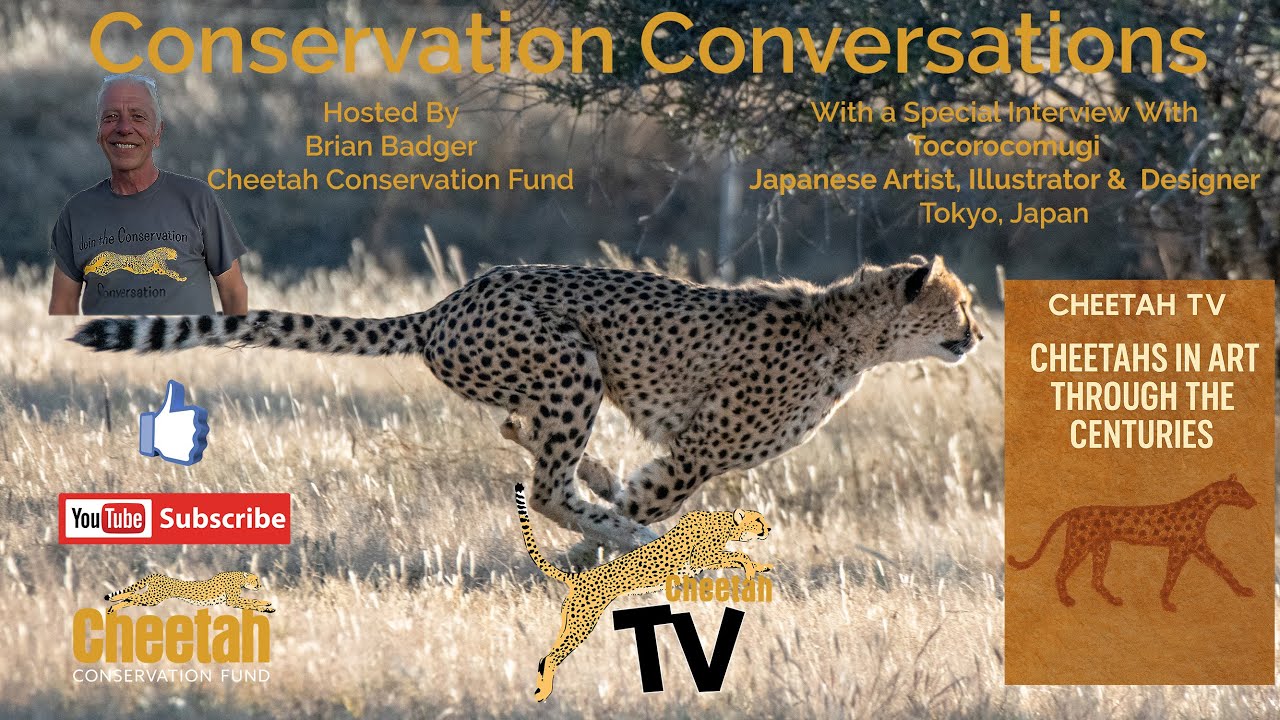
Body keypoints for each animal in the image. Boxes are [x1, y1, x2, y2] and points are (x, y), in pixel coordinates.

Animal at [72, 254, 981, 549]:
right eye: (961, 305)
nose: (978, 334)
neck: (856, 333)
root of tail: (445, 303)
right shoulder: (698, 451)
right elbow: (656, 495)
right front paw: (618, 548)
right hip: (573, 363)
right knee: (544, 484)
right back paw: (617, 524)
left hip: (557, 382)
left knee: (526, 436)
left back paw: (601, 489)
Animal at [104, 571, 275, 615]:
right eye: (255, 579)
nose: (260, 584)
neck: (240, 578)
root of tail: (157, 574)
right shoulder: (232, 600)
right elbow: (250, 603)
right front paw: (267, 607)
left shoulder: (234, 600)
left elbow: (252, 601)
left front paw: (268, 605)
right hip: (153, 598)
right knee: (131, 596)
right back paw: (112, 604)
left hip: (149, 598)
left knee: (130, 599)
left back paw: (111, 608)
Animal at [515, 482, 771, 702]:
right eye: (758, 520)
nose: (768, 528)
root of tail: (577, 579)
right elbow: (736, 556)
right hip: (582, 621)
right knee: (550, 656)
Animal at [1007, 475, 1257, 612]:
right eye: (1240, 492)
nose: (1253, 501)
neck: (1204, 509)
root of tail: (1074, 510)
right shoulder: (1182, 548)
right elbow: (1176, 575)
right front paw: (1166, 603)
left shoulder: (1192, 548)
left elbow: (1220, 568)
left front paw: (1242, 590)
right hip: (1079, 544)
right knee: (1061, 571)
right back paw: (1066, 600)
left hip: (1101, 547)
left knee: (1096, 579)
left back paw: (1113, 600)